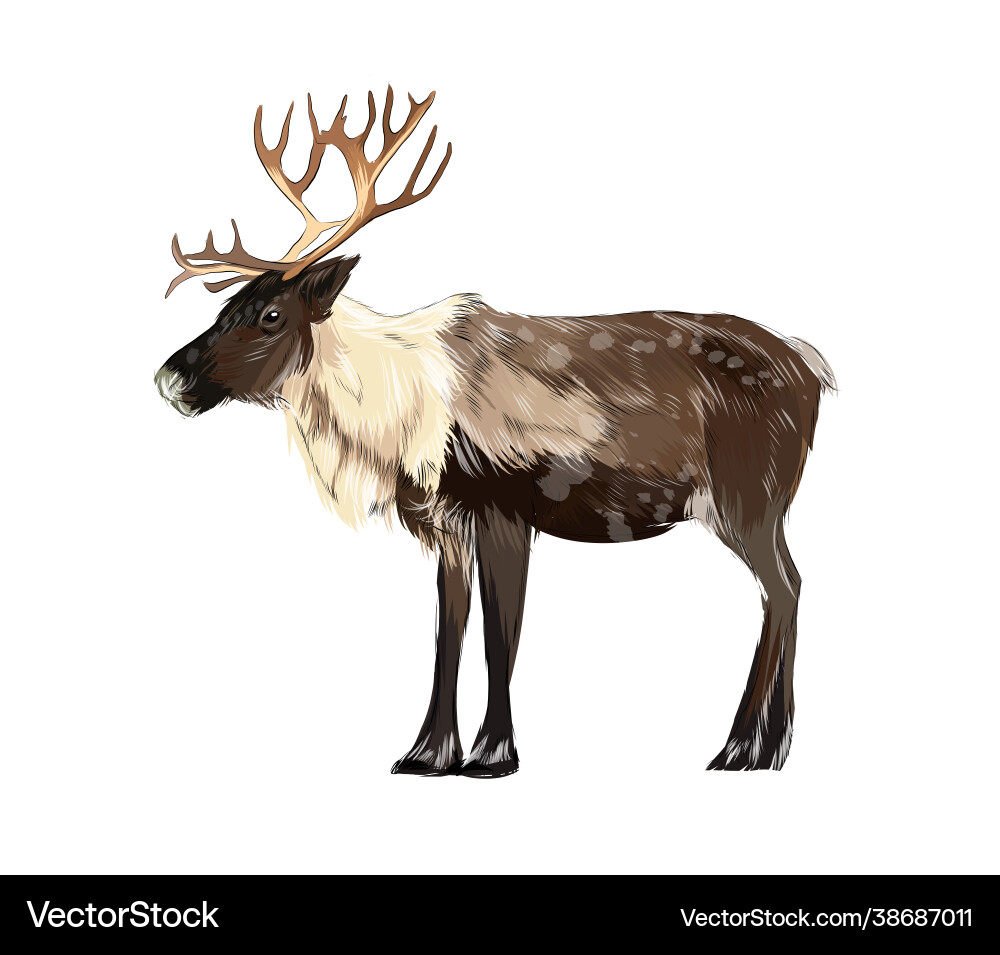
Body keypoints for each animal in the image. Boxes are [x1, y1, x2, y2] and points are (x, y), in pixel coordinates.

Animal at [156, 88, 835, 776]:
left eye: (271, 315)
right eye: (226, 306)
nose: (170, 377)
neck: (396, 418)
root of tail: (815, 369)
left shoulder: (505, 505)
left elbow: (498, 631)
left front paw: (492, 753)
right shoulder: (446, 518)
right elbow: (449, 629)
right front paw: (427, 753)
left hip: (747, 498)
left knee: (785, 586)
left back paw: (747, 747)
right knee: (784, 588)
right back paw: (760, 745)